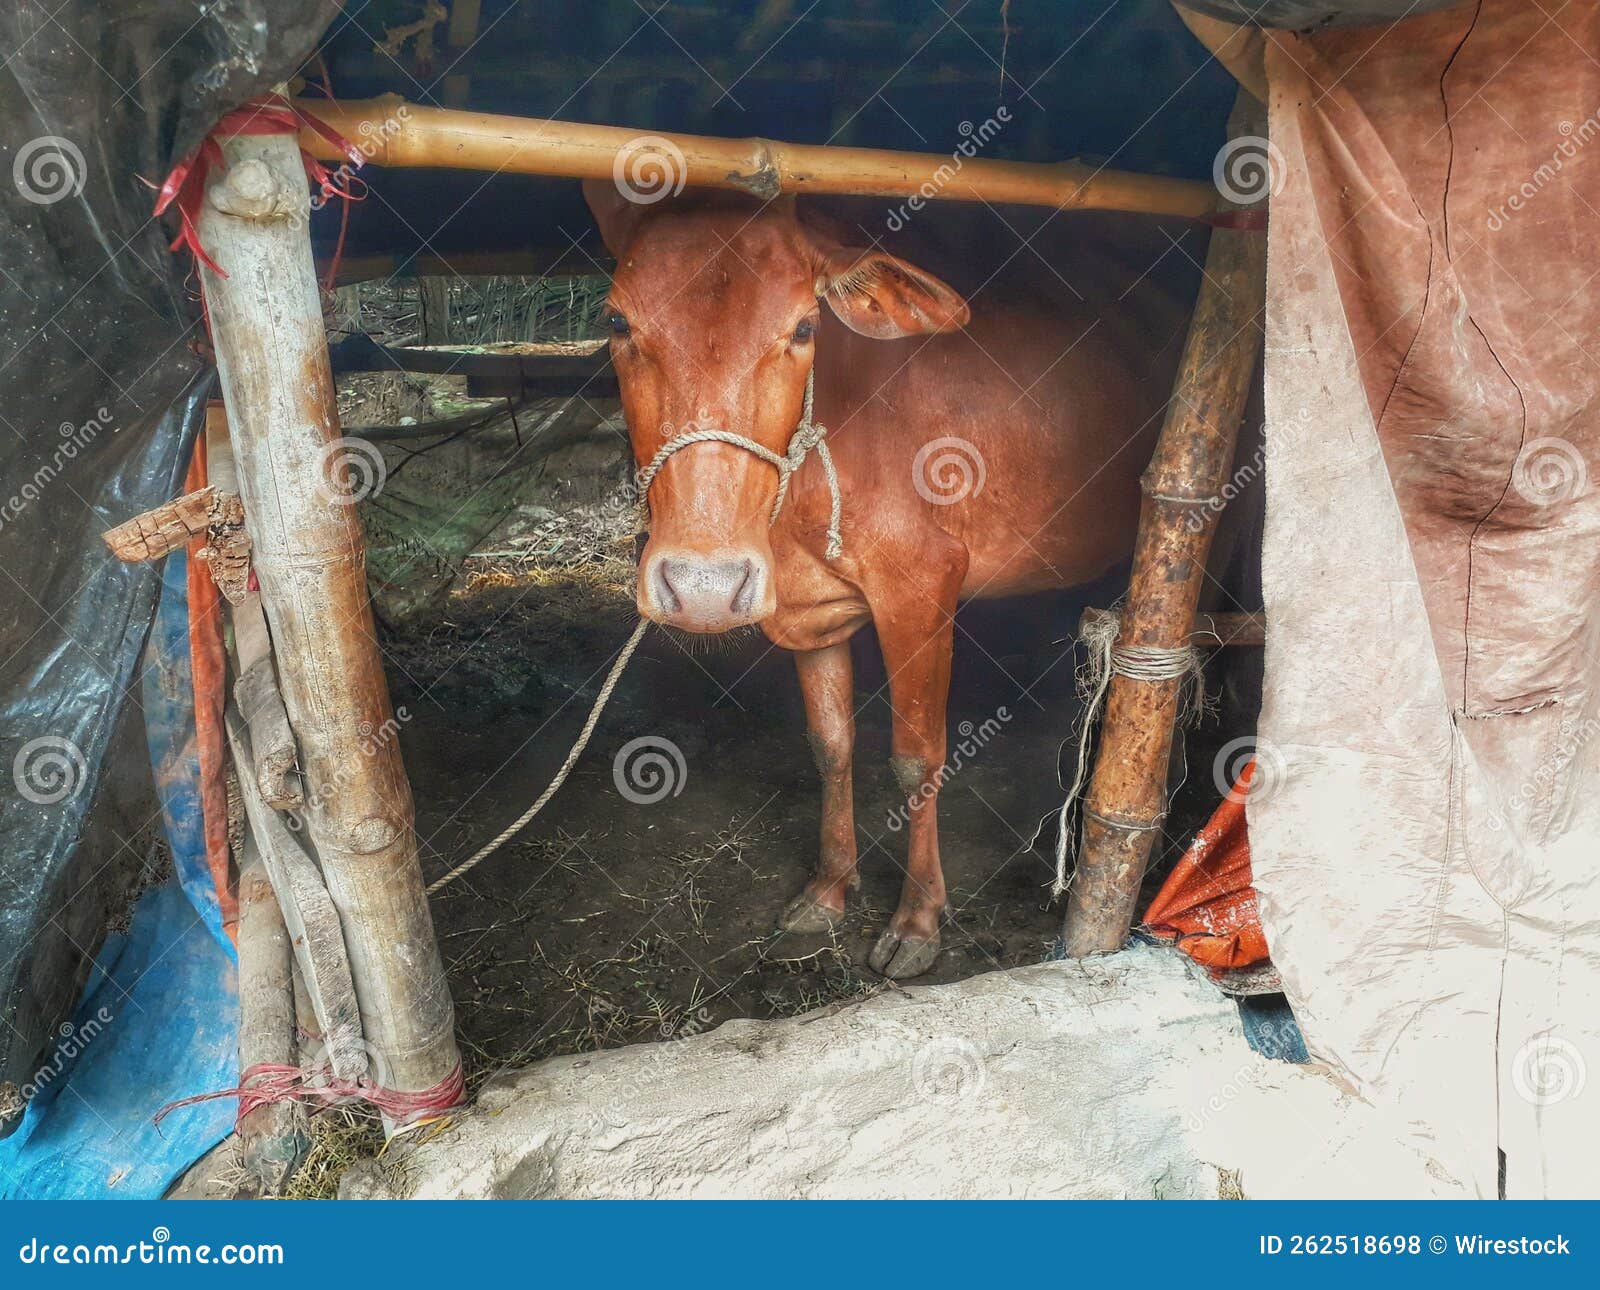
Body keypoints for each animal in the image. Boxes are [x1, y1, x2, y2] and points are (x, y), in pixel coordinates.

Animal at [585, 181, 1197, 978]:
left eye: (804, 327)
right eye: (618, 320)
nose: (704, 585)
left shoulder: (922, 587)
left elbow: (916, 759)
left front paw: (917, 920)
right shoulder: (808, 606)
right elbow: (830, 744)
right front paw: (828, 889)